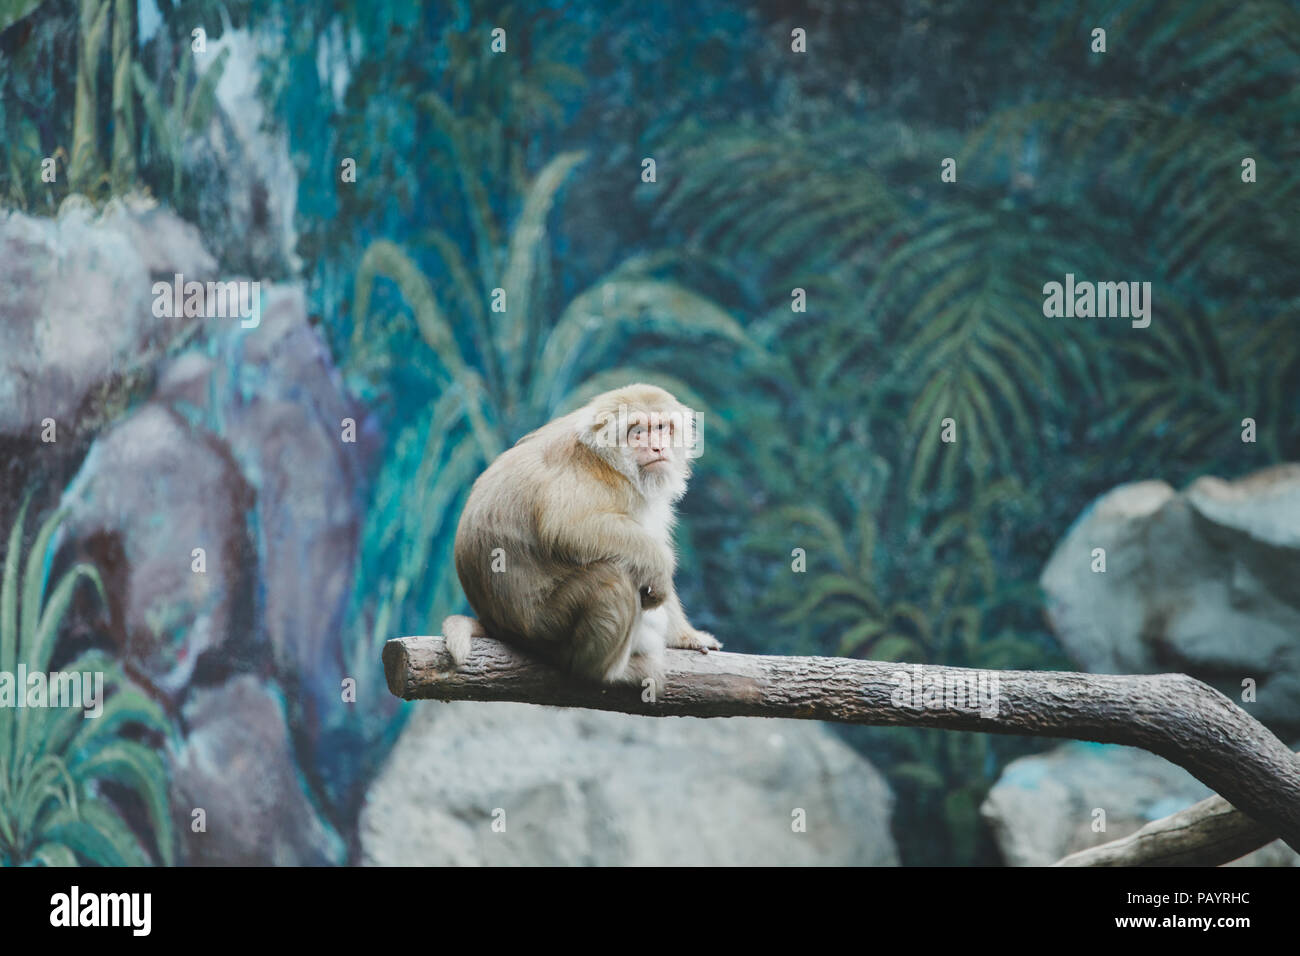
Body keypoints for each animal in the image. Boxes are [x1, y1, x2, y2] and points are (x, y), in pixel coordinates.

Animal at [442, 383, 721, 685]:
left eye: (660, 427)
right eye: (637, 432)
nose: (658, 447)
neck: (609, 461)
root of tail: (500, 628)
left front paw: (685, 637)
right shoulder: (597, 475)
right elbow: (569, 528)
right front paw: (661, 569)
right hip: (546, 628)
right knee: (612, 579)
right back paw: (603, 673)